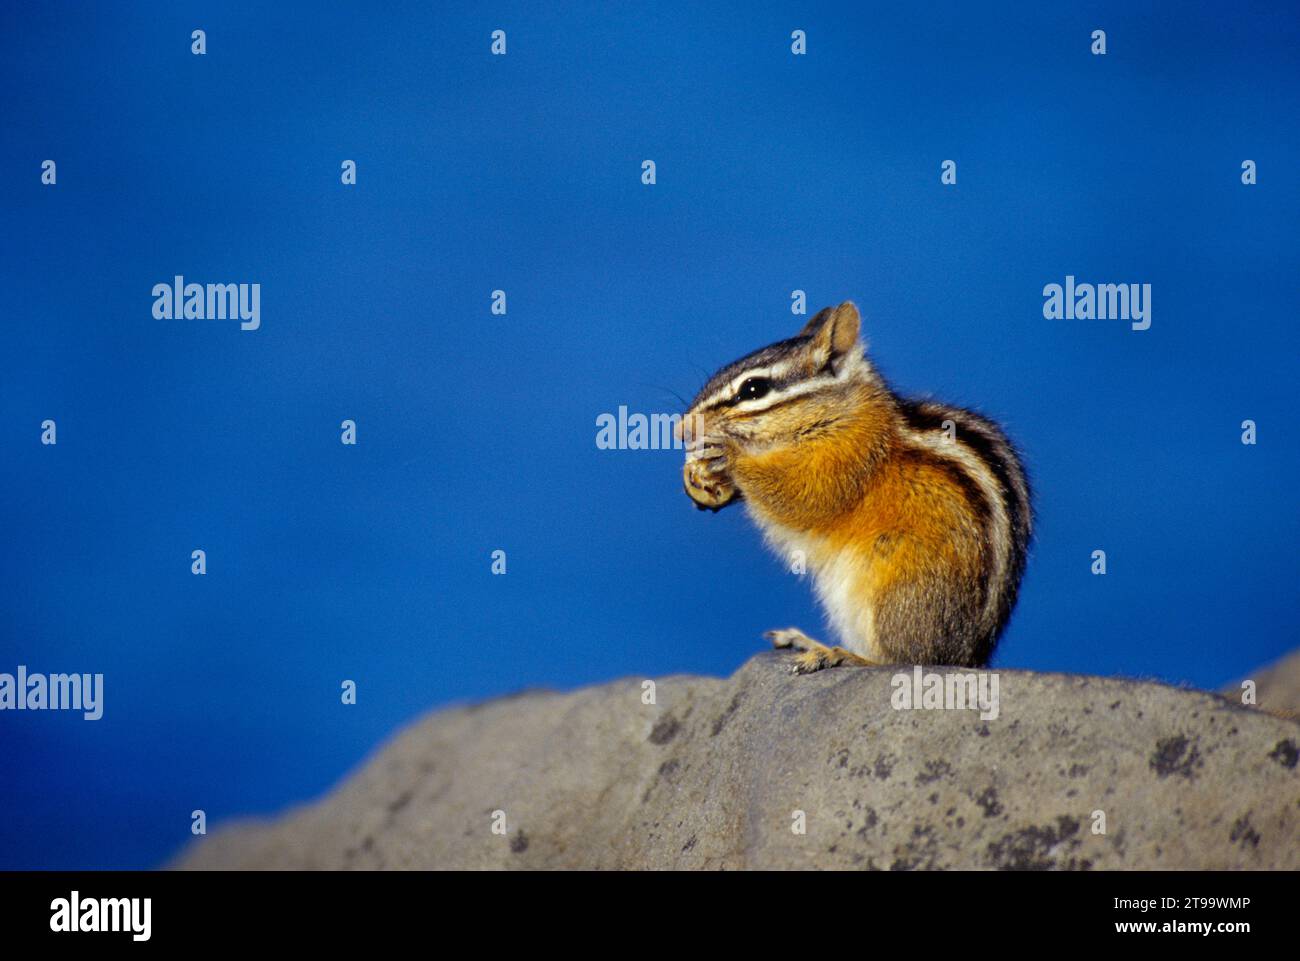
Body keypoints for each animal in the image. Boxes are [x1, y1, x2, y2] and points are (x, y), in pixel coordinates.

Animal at [677, 301, 1031, 673]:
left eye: (753, 389)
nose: (680, 427)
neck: (840, 413)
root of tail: (967, 660)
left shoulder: (846, 460)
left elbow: (803, 498)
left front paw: (730, 455)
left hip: (894, 594)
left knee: (903, 660)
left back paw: (836, 654)